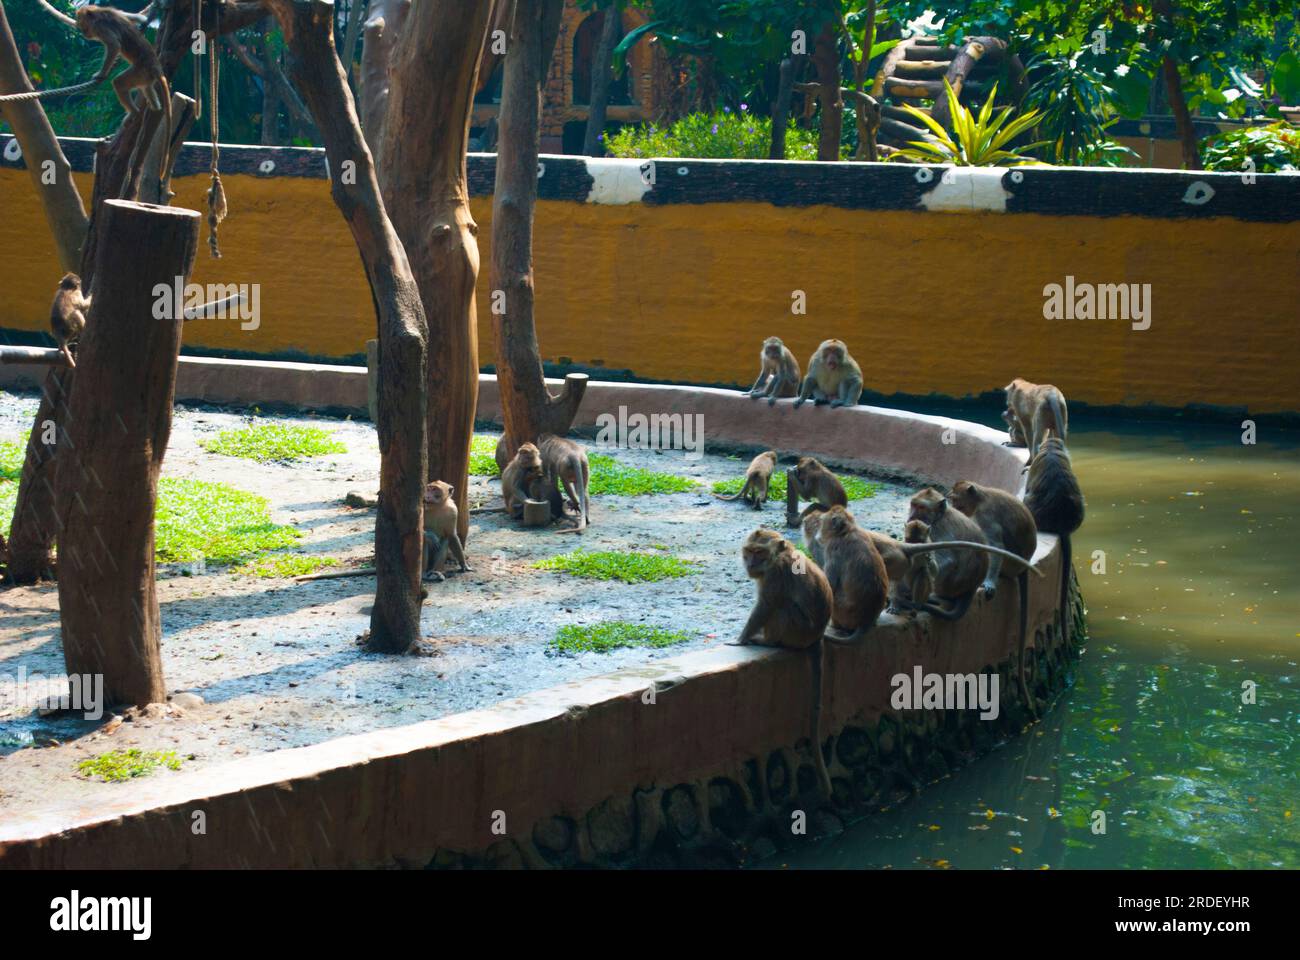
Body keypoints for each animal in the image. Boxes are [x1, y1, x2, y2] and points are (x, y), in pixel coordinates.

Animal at [731, 528, 835, 799]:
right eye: (749, 551)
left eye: (759, 552)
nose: (750, 563)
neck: (779, 557)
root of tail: (816, 636)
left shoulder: (776, 575)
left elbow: (766, 606)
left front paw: (741, 638)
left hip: (795, 630)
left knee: (781, 607)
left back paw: (768, 642)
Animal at [949, 479, 1039, 712]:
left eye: (953, 496)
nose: (948, 501)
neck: (979, 498)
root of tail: (1024, 565)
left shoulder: (986, 517)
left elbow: (995, 547)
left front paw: (988, 583)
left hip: (1010, 564)